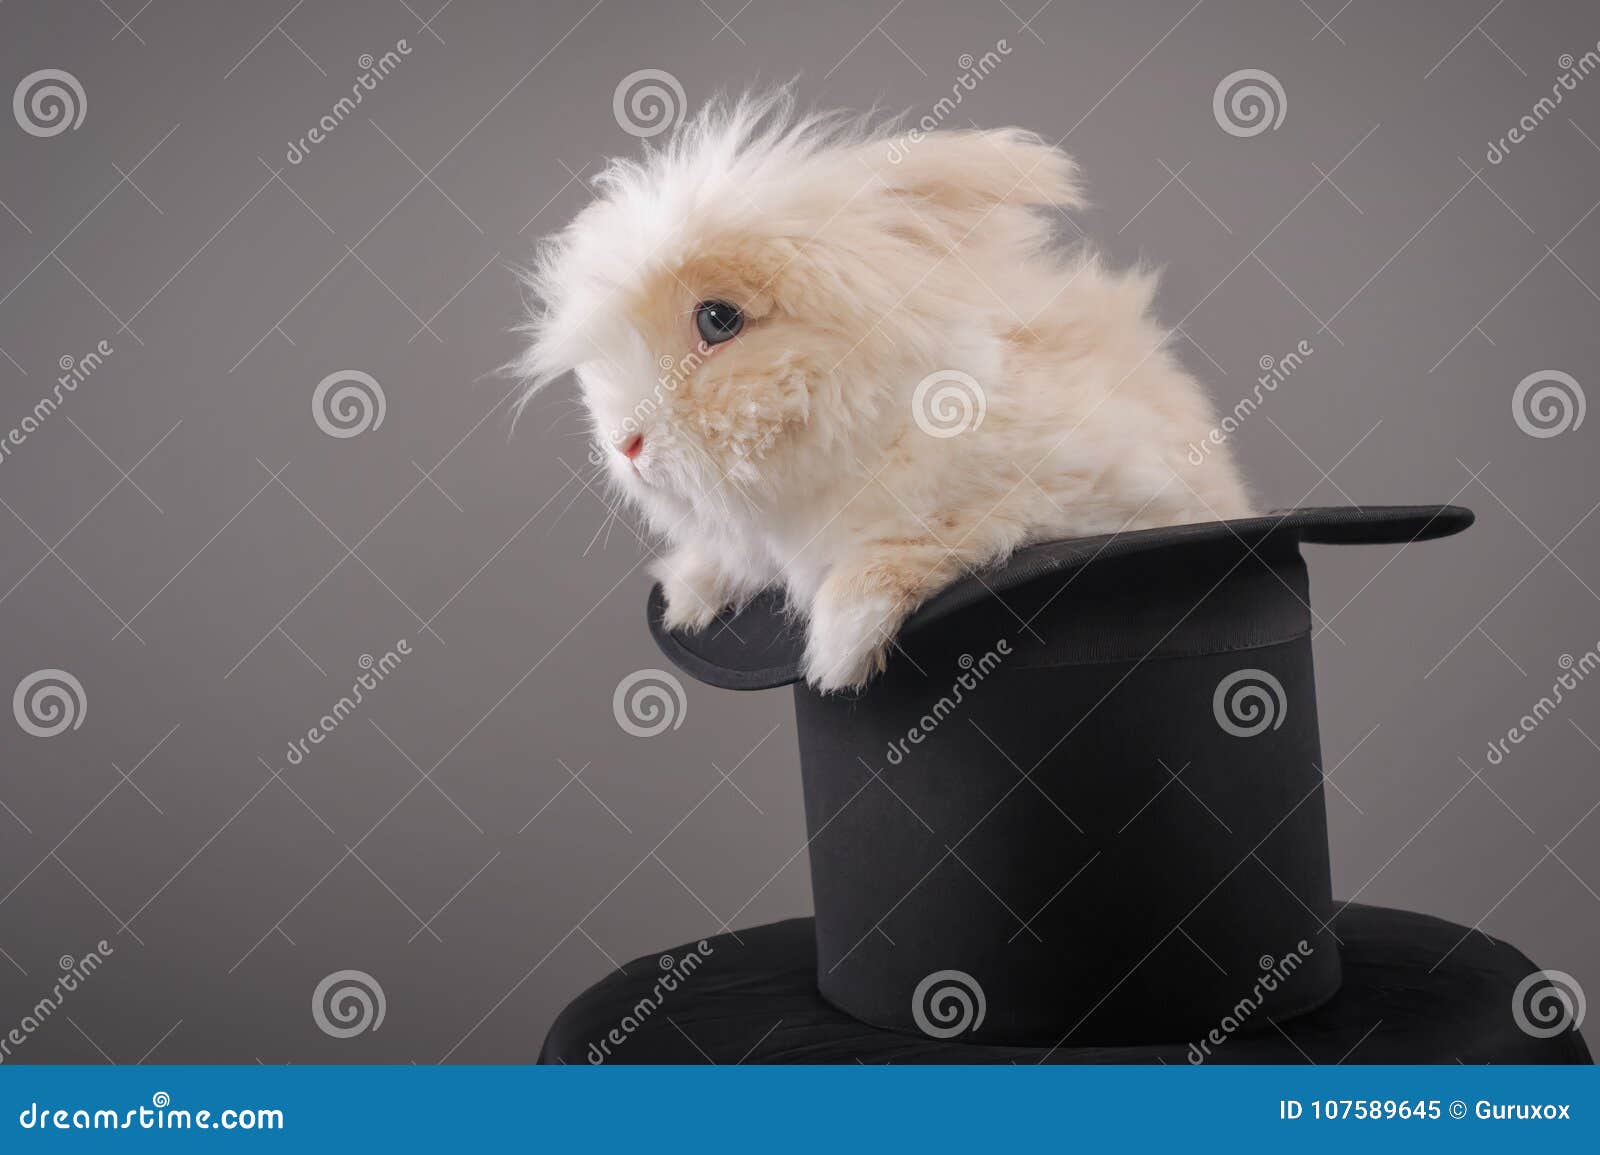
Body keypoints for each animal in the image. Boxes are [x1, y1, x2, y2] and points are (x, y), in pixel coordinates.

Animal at [515, 90, 1254, 692]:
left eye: (719, 319)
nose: (625, 445)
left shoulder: (1069, 494)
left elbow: (920, 545)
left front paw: (838, 651)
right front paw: (687, 596)